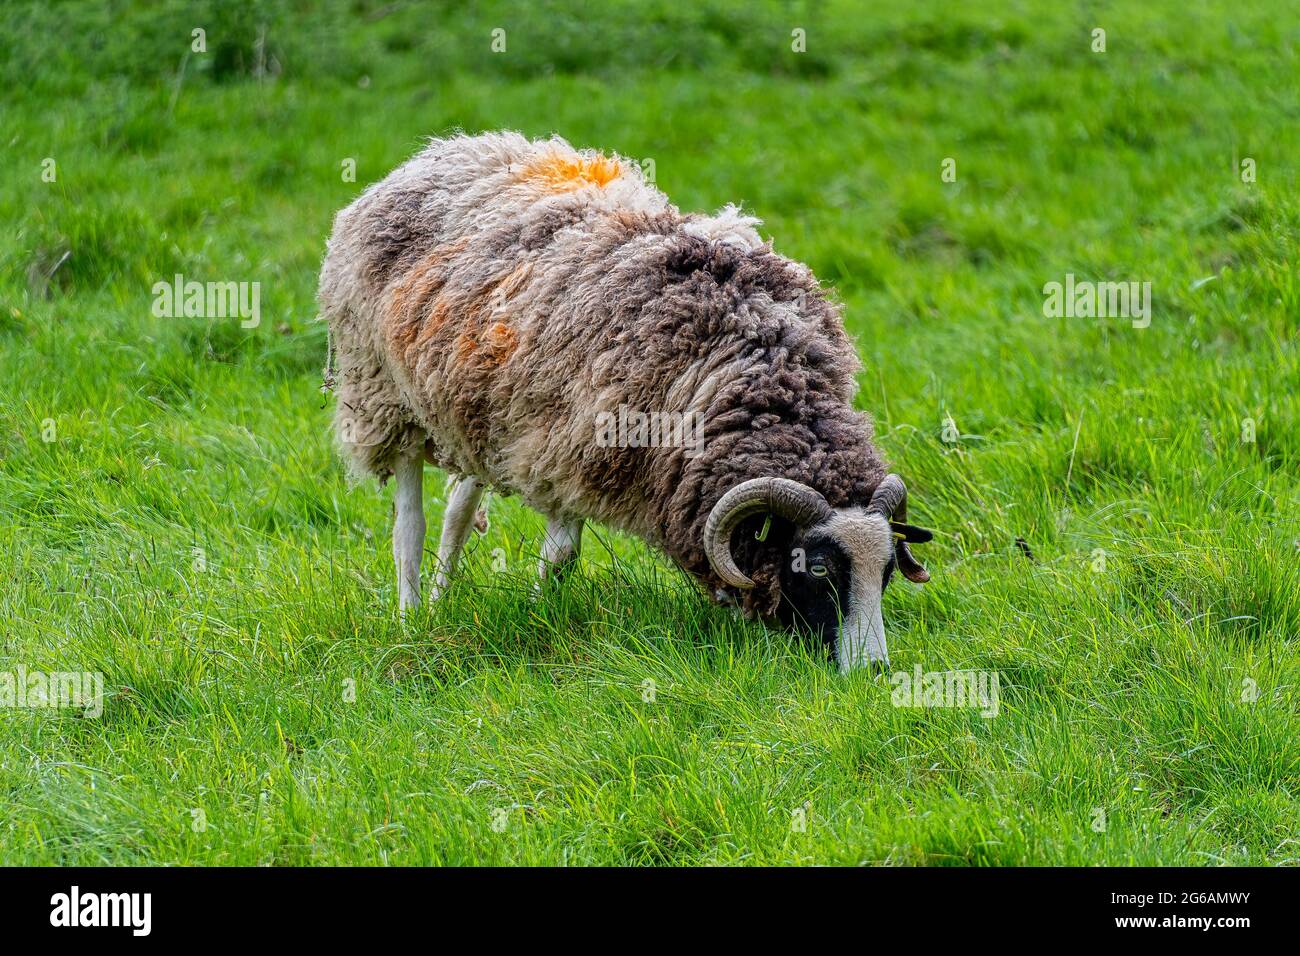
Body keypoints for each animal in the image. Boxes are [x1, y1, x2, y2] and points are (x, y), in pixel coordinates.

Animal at [317, 131, 934, 670]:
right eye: (820, 569)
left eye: (886, 572)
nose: (873, 670)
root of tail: (440, 152)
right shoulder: (569, 442)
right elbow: (561, 555)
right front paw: (540, 617)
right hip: (385, 398)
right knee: (410, 525)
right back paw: (411, 617)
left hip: (473, 409)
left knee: (458, 511)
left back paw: (442, 599)